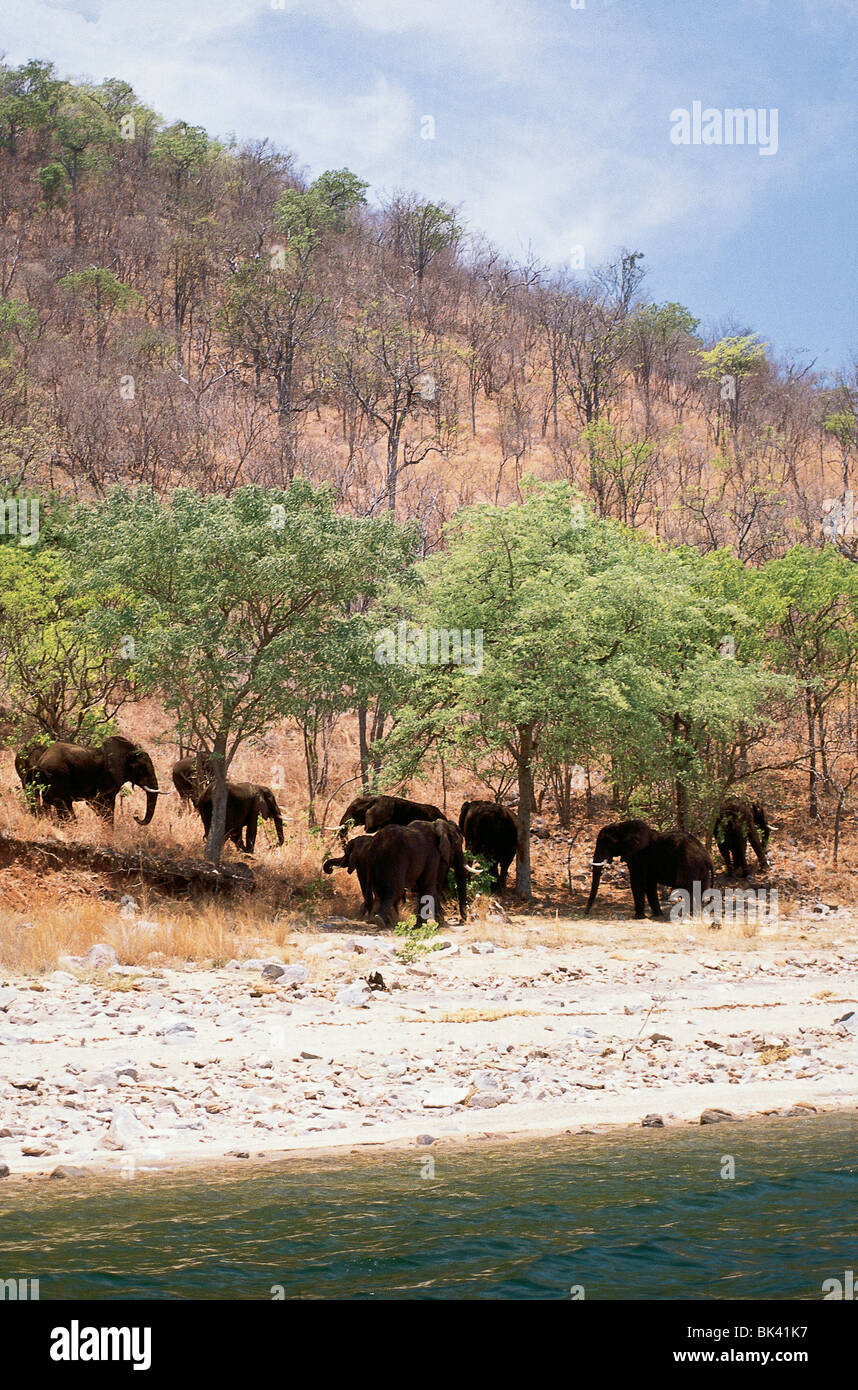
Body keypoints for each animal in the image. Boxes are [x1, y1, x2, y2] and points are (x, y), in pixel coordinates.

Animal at [30, 736, 163, 825]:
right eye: (142, 769)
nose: (135, 816)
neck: (128, 752)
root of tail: (40, 762)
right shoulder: (107, 778)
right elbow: (100, 804)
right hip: (58, 775)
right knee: (62, 805)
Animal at [585, 819, 714, 920]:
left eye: (607, 844)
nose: (586, 913)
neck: (623, 826)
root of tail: (707, 857)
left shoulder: (638, 856)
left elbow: (637, 882)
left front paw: (638, 917)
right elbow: (649, 884)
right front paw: (658, 915)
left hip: (690, 866)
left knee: (688, 889)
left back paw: (687, 916)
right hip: (701, 871)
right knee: (700, 889)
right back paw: (695, 916)